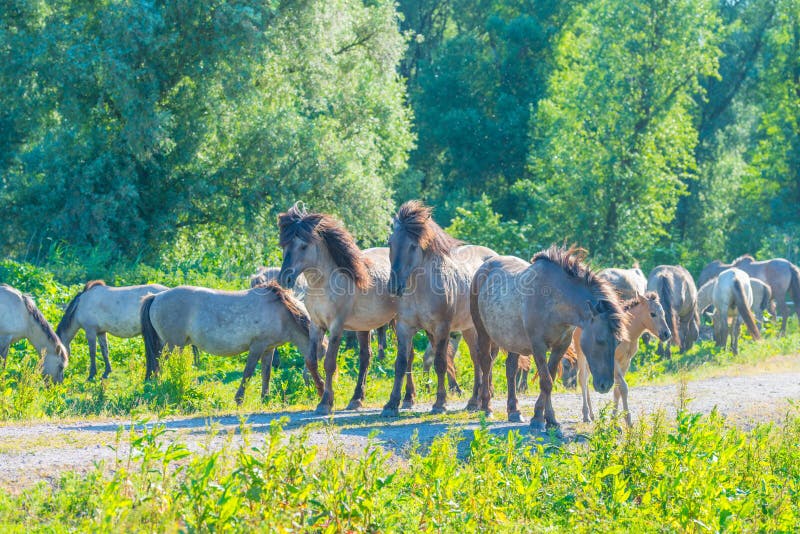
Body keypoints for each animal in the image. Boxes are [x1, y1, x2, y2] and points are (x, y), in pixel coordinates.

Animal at [140, 281, 315, 404]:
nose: (313, 392)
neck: (281, 312)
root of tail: (156, 297)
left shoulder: (268, 349)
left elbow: (266, 373)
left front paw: (265, 398)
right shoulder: (256, 347)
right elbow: (248, 373)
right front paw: (239, 399)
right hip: (173, 345)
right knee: (160, 367)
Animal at [277, 204, 397, 414]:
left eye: (303, 246)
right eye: (284, 245)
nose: (285, 279)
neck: (323, 284)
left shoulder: (336, 327)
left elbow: (329, 363)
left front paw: (326, 402)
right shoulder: (316, 326)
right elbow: (311, 361)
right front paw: (320, 390)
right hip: (363, 327)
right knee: (365, 357)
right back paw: (356, 399)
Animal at [384, 201, 498, 416]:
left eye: (413, 246)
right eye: (390, 243)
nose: (394, 286)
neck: (420, 288)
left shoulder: (442, 328)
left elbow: (440, 363)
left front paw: (439, 403)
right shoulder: (404, 327)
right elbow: (401, 363)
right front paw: (391, 404)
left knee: (483, 359)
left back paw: (480, 400)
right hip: (469, 330)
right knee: (477, 359)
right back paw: (474, 401)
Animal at [471, 246, 626, 432]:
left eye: (618, 342)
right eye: (600, 340)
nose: (606, 385)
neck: (554, 300)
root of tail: (484, 266)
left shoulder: (561, 346)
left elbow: (549, 379)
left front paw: (550, 419)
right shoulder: (538, 347)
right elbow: (546, 382)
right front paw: (538, 419)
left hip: (513, 341)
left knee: (511, 369)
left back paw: (514, 410)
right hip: (483, 333)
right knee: (486, 364)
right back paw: (486, 408)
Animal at [575, 292, 671, 425]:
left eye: (663, 313)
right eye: (652, 314)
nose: (667, 334)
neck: (628, 333)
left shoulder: (626, 362)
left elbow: (617, 390)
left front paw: (614, 422)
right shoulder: (614, 362)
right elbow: (623, 388)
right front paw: (628, 421)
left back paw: (592, 414)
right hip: (581, 357)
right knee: (582, 379)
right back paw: (586, 415)